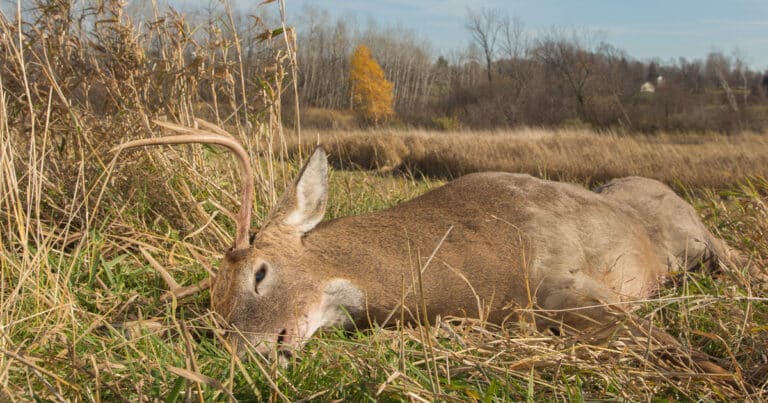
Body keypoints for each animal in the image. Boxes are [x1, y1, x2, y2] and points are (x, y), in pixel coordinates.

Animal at [113, 119, 740, 374]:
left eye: (260, 273)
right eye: (215, 312)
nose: (245, 354)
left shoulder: (561, 276)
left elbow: (671, 347)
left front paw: (725, 375)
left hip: (695, 233)